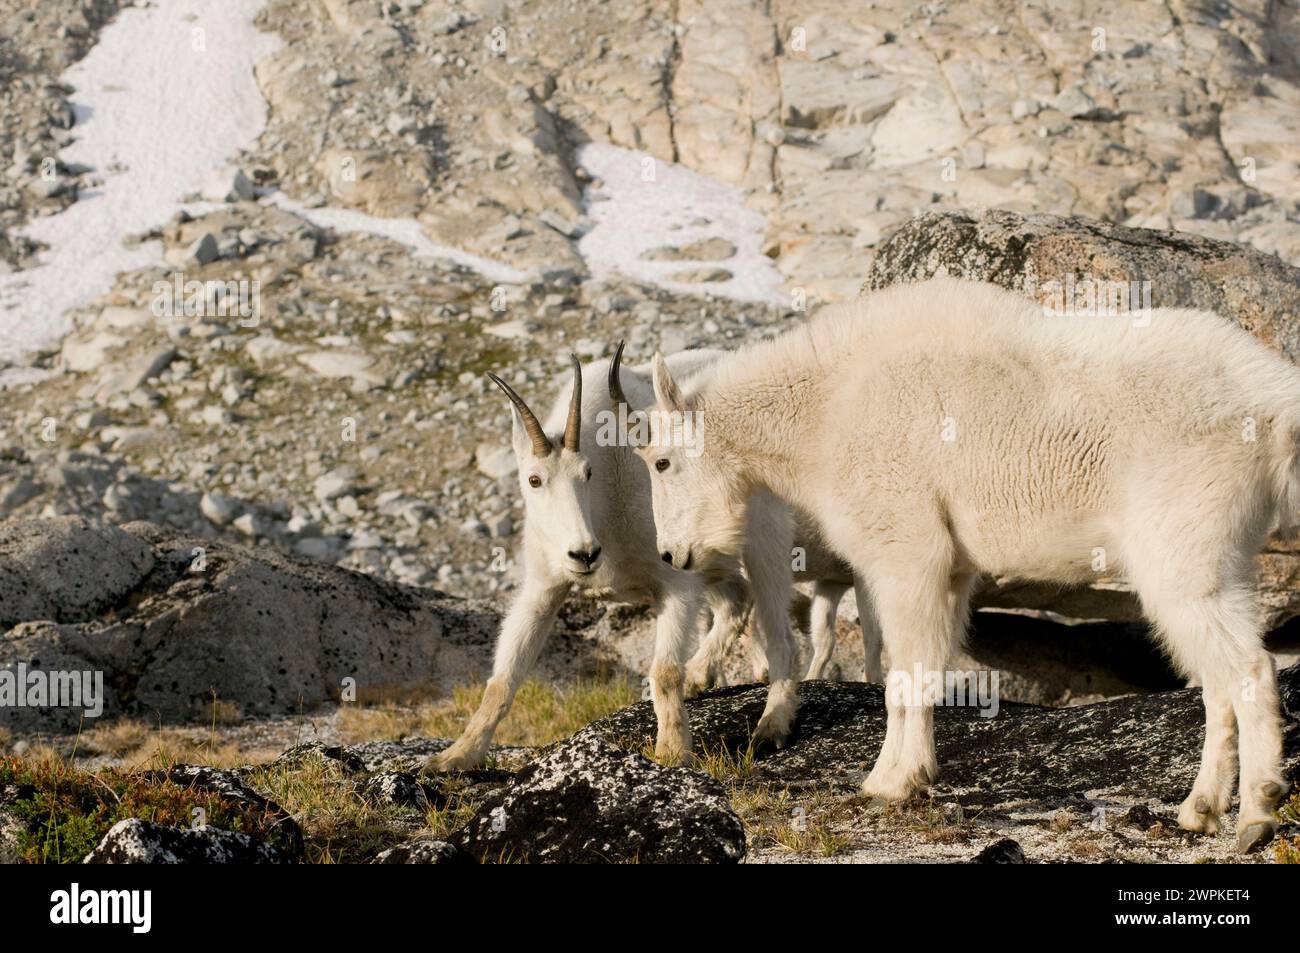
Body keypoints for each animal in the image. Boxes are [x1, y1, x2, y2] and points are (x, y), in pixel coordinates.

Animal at [432, 349, 880, 772]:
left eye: (587, 473)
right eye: (533, 480)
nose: (584, 554)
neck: (605, 509)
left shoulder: (675, 582)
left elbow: (663, 672)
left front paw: (672, 751)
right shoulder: (544, 589)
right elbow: (503, 679)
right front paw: (455, 757)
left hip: (765, 536)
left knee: (782, 630)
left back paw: (773, 723)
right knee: (738, 599)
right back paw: (702, 676)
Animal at [618, 276, 1294, 853]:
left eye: (660, 462)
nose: (673, 553)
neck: (824, 407)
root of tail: (1274, 404)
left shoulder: (906, 552)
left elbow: (902, 673)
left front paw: (888, 781)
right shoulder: (951, 571)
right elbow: (923, 667)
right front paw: (909, 775)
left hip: (1179, 544)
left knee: (1247, 667)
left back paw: (1257, 812)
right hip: (1224, 553)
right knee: (1217, 676)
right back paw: (1200, 809)